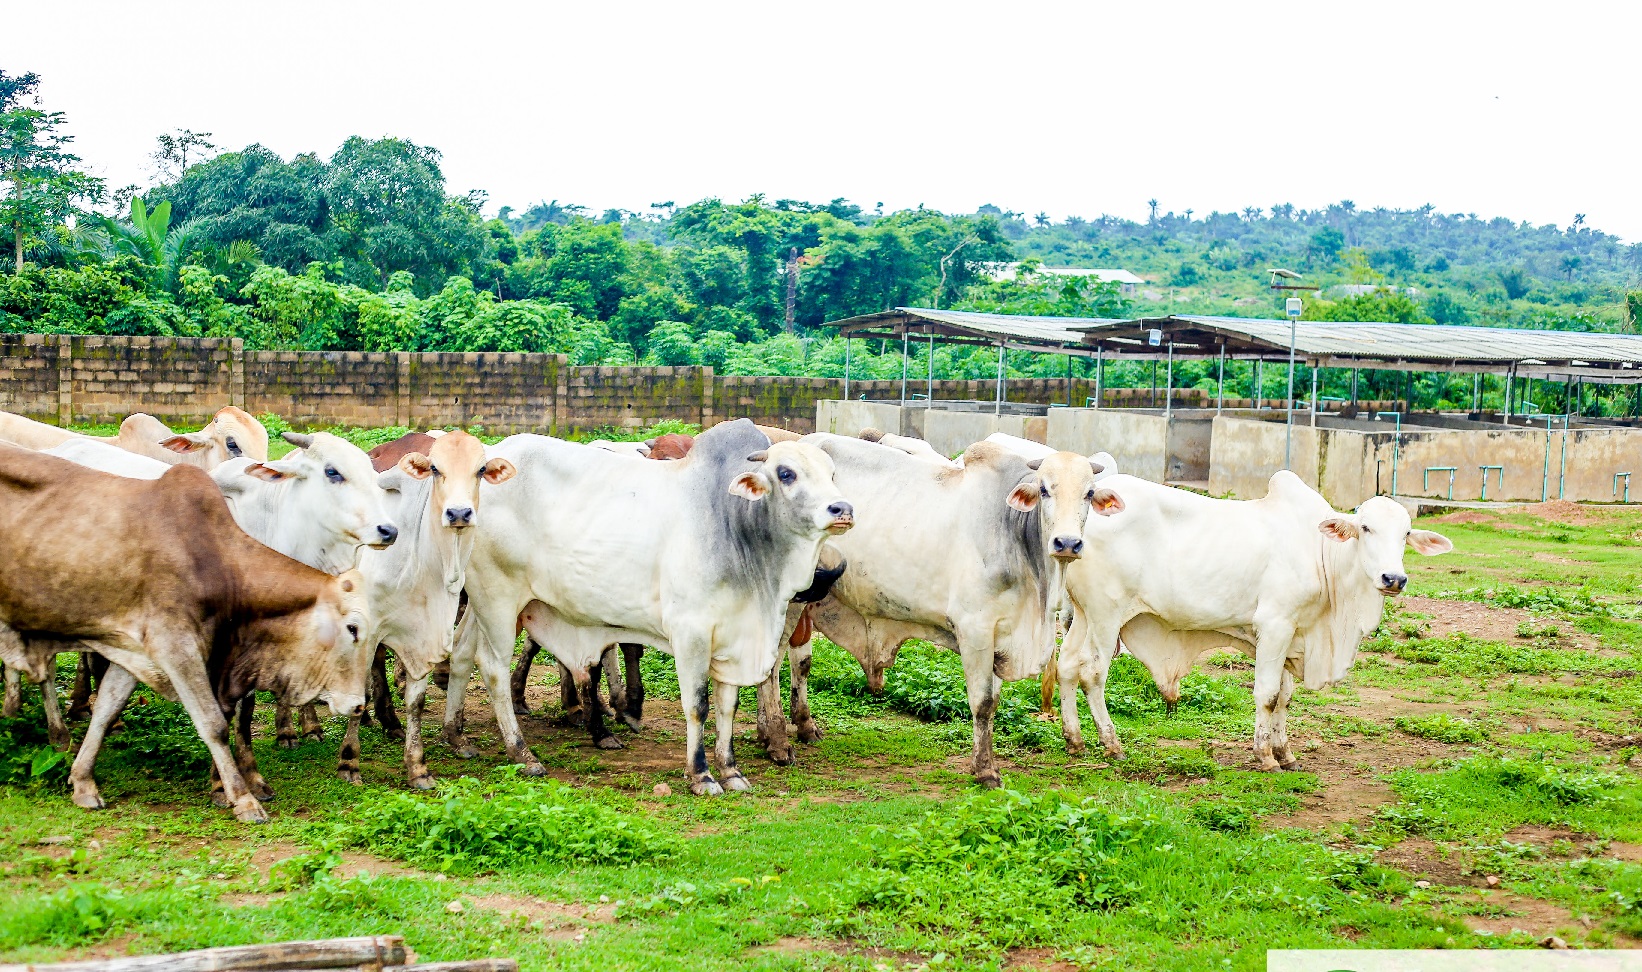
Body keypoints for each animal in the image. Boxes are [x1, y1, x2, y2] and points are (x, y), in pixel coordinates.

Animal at [0, 443, 371, 821]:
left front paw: (83, 781)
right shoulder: (176, 647)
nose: (358, 705)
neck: (218, 565)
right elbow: (213, 723)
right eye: (353, 628)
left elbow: (106, 709)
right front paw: (242, 798)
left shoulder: (133, 649)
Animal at [444, 419, 853, 794]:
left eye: (832, 474)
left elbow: (728, 706)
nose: (842, 508)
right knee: (492, 667)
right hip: (498, 597)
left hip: (483, 601)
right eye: (786, 473)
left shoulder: (733, 634)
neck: (736, 525)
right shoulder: (691, 634)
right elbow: (698, 705)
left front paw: (731, 770)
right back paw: (522, 753)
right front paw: (701, 775)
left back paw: (455, 735)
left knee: (462, 651)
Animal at [788, 435, 1123, 787]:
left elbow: (994, 702)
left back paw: (804, 726)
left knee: (800, 660)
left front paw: (981, 763)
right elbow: (983, 702)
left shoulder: (999, 635)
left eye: (1089, 493)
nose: (1067, 543)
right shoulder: (975, 630)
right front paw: (986, 771)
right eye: (1044, 489)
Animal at [1054, 471, 1452, 770]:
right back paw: (1112, 743)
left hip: (1085, 615)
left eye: (1406, 534)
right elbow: (1267, 694)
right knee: (1093, 673)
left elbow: (1285, 697)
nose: (1393, 579)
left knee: (1067, 666)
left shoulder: (1293, 633)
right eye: (1366, 528)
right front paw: (1265, 756)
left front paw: (1285, 753)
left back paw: (1074, 739)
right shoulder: (1275, 625)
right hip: (1107, 615)